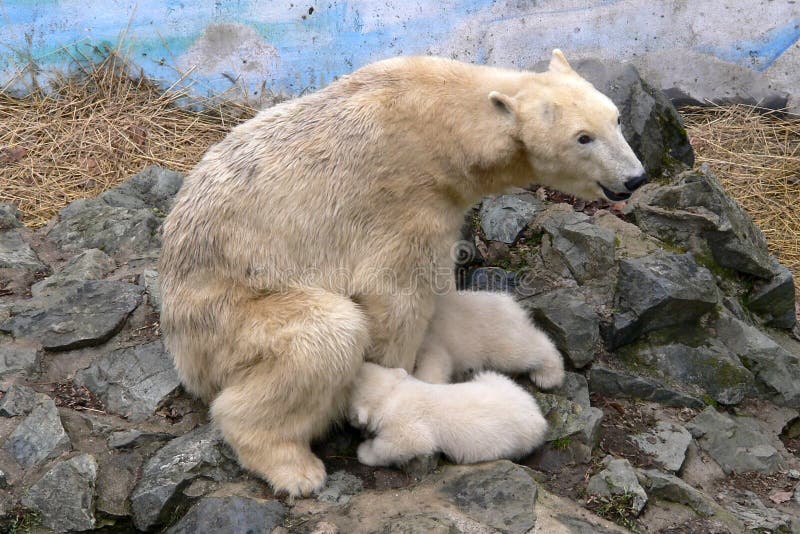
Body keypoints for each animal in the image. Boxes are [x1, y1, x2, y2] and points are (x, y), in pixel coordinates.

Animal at [349, 363, 549, 466]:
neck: (391, 393)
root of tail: (538, 418)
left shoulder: (405, 423)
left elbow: (406, 443)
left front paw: (364, 451)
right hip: (498, 381)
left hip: (508, 441)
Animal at [414, 291, 564, 387]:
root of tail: (511, 303)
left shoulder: (430, 339)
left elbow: (435, 359)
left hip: (493, 333)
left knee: (519, 352)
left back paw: (547, 376)